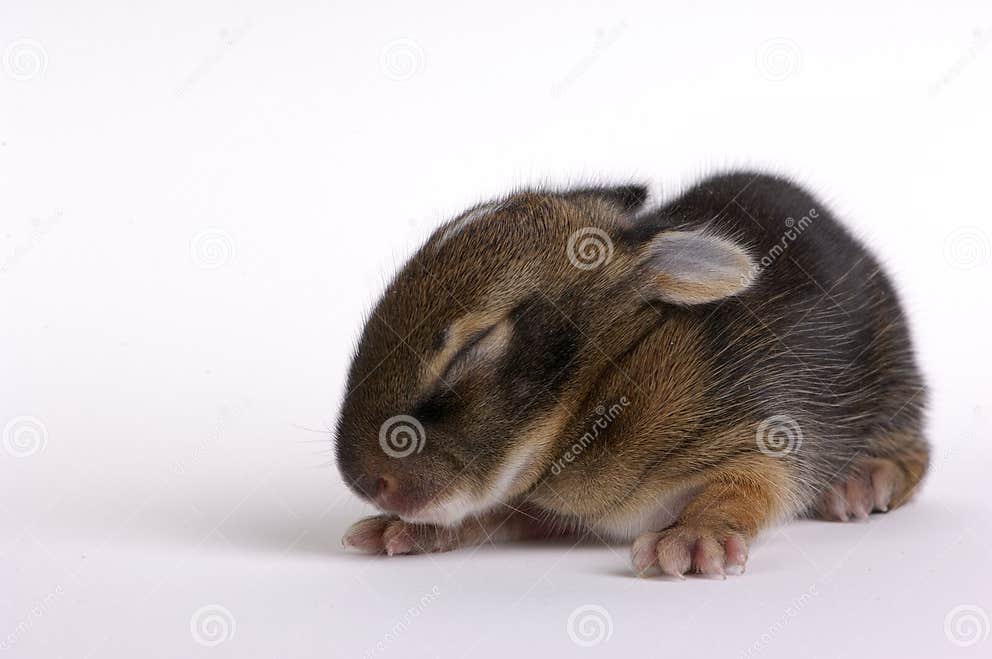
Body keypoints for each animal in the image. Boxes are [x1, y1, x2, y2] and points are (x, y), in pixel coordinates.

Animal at [334, 171, 929, 578]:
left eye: (473, 346)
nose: (362, 481)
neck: (602, 389)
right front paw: (403, 532)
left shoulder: (768, 431)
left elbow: (744, 490)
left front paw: (692, 541)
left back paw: (861, 483)